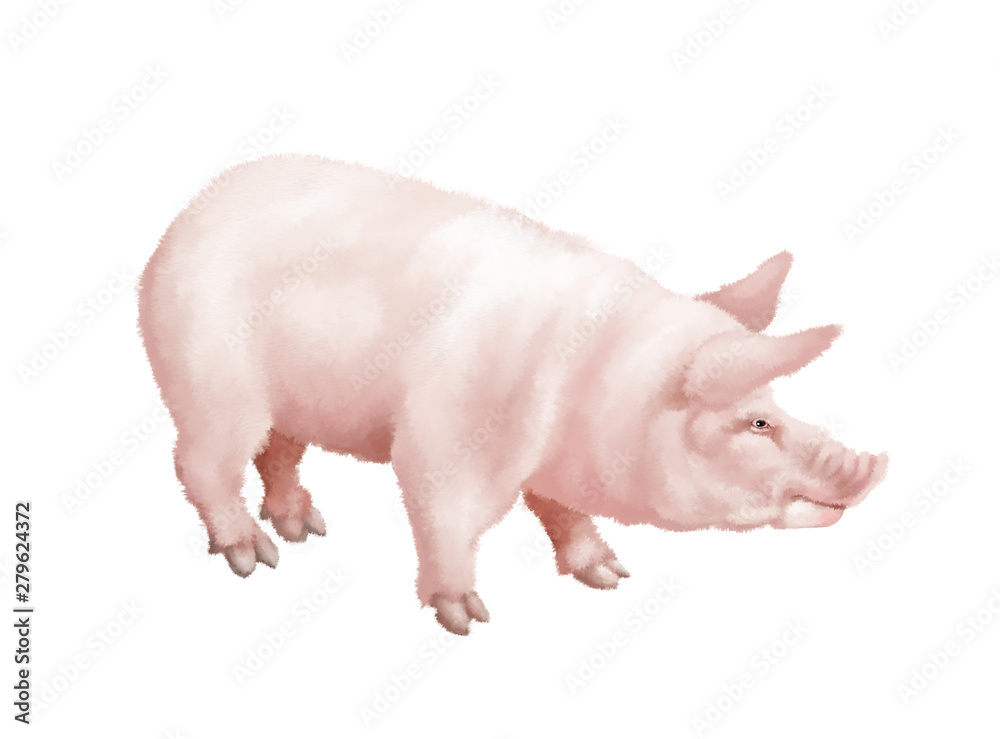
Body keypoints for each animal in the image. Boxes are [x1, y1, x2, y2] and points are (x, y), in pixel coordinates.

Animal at [138, 154, 888, 635]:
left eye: (778, 403)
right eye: (757, 421)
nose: (872, 464)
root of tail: (187, 217)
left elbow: (562, 512)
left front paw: (612, 575)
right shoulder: (444, 436)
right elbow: (445, 511)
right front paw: (467, 619)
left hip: (288, 400)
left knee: (277, 451)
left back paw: (305, 527)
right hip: (212, 379)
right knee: (198, 461)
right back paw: (254, 557)